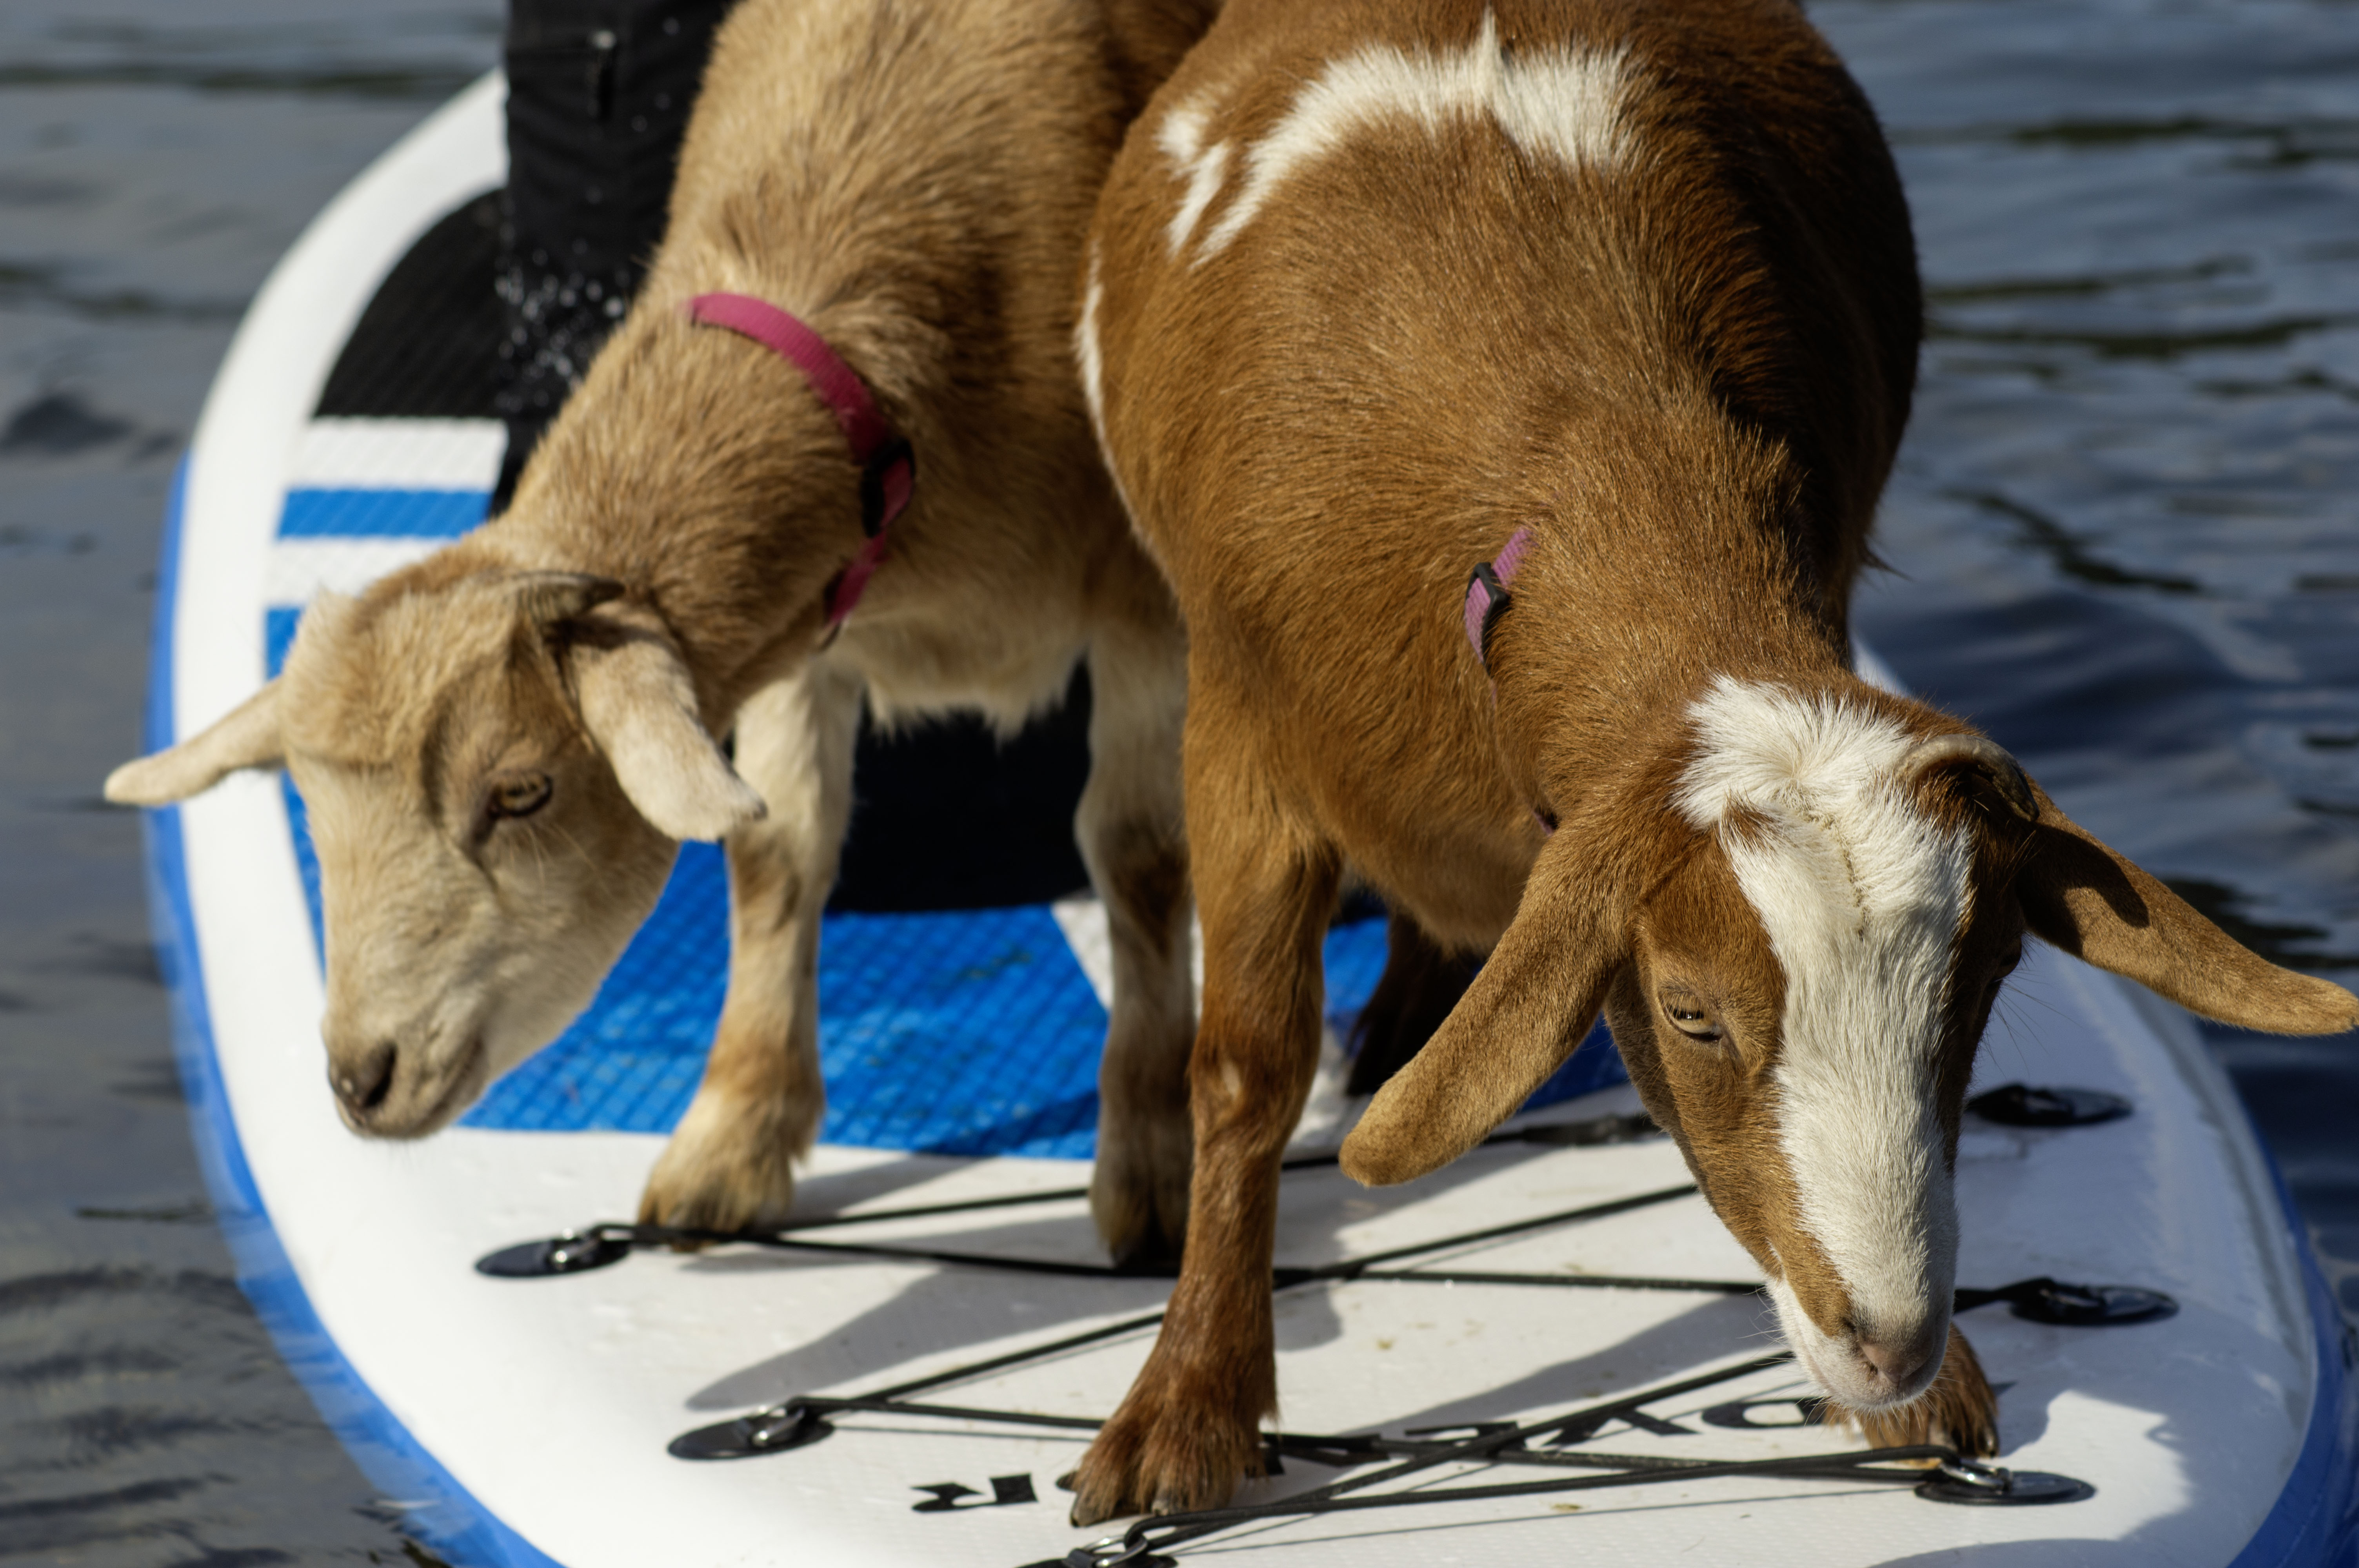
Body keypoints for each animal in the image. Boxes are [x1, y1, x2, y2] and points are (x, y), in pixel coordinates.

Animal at [105, 0, 1224, 1264]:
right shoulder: (807, 627)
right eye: (307, 803)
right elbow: (777, 848)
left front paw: (1154, 1169)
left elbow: (1140, 853)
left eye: (523, 793)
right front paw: (729, 1145)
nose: (359, 1077)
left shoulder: (1146, 594)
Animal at [1068, 0, 2359, 1523]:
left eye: (1984, 984)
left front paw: (1936, 1397)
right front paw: (1185, 1413)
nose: (1888, 1339)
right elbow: (1245, 1066)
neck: (1590, 469)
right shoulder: (1238, 720)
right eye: (1688, 1015)